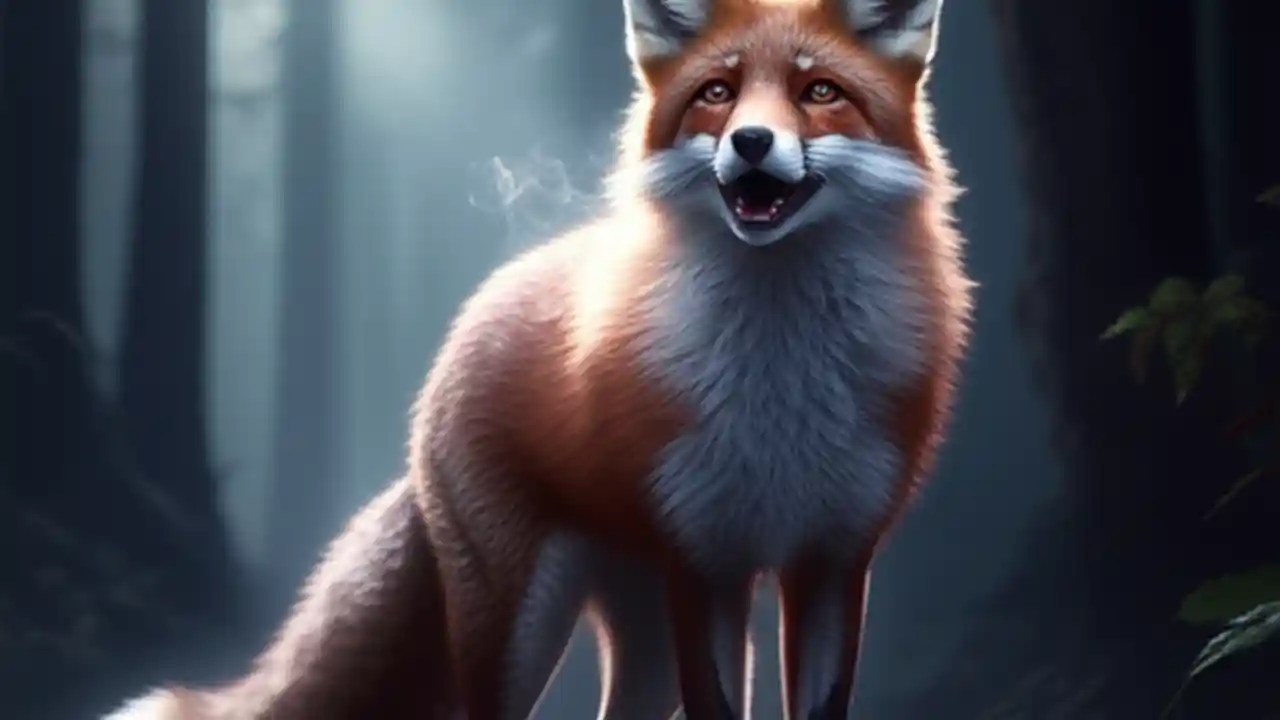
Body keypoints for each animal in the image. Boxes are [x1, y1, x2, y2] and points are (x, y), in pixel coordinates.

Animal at [106, 0, 971, 718]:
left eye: (819, 92)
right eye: (717, 93)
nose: (751, 143)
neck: (780, 381)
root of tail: (475, 313)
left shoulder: (833, 561)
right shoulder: (707, 564)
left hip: (644, 642)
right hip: (518, 627)